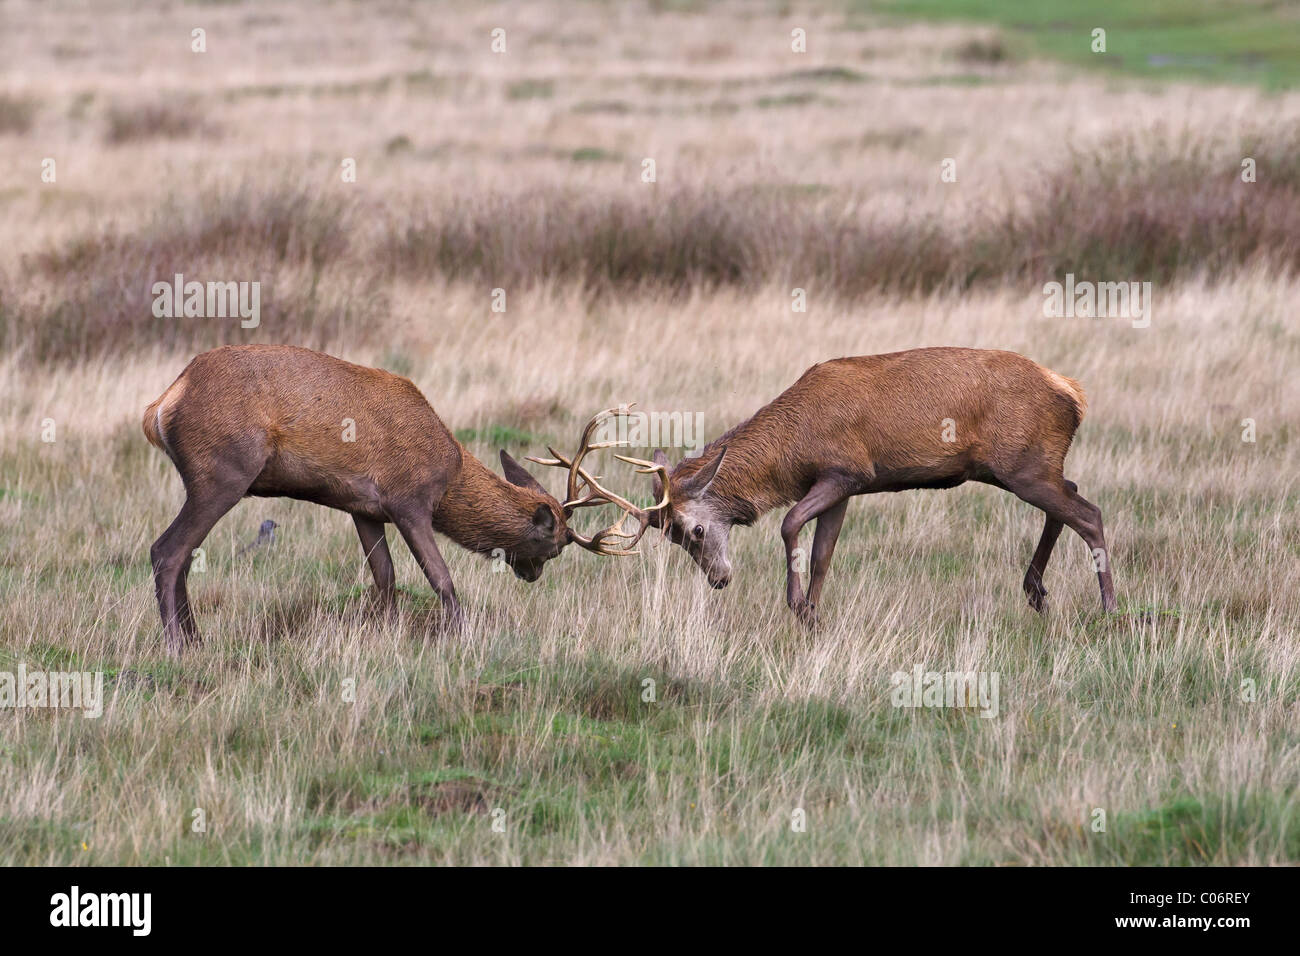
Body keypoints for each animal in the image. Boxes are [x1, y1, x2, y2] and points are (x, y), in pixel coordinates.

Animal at [142, 345, 643, 654]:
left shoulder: (363, 509)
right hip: (224, 472)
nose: (533, 575)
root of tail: (161, 405)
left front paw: (386, 635)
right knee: (167, 550)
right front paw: (459, 638)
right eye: (554, 545)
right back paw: (178, 646)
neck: (450, 474)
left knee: (184, 554)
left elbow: (385, 579)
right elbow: (441, 578)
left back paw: (197, 640)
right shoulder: (409, 501)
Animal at [537, 348, 1118, 626]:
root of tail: (1074, 392)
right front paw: (814, 616)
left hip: (1022, 463)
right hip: (1024, 466)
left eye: (693, 530)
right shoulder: (846, 487)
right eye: (672, 537)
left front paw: (795, 605)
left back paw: (1109, 608)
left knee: (1089, 513)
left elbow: (791, 524)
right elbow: (823, 552)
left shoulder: (845, 469)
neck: (793, 451)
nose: (719, 580)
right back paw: (1036, 590)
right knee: (1069, 499)